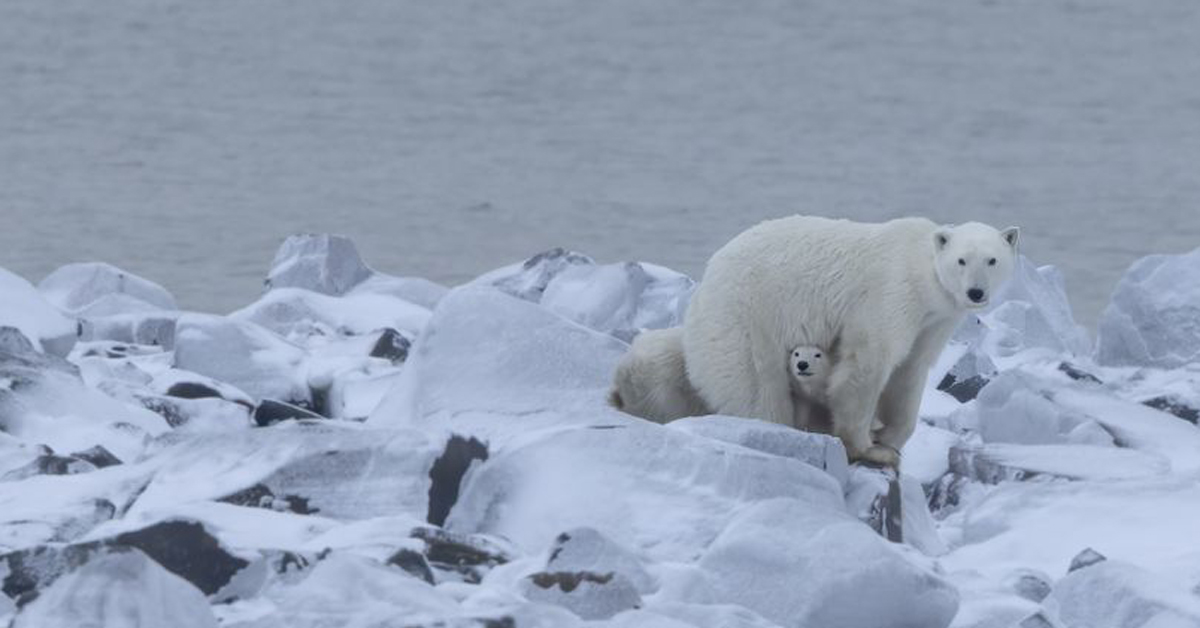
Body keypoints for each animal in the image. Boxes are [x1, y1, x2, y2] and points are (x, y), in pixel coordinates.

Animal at [682, 216, 1018, 466]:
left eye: (992, 260)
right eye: (961, 260)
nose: (976, 292)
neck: (920, 270)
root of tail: (705, 284)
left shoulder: (934, 319)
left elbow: (911, 369)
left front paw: (890, 438)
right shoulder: (890, 293)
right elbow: (867, 363)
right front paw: (869, 448)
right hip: (747, 318)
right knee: (757, 390)